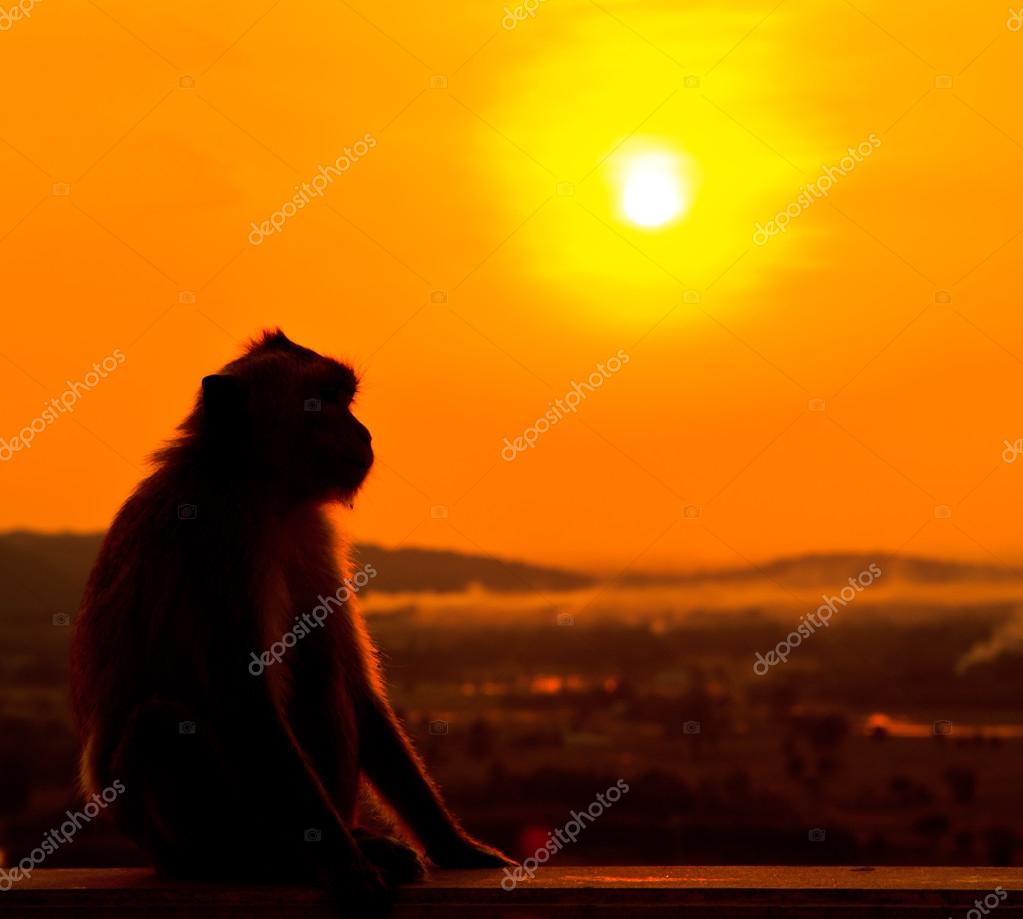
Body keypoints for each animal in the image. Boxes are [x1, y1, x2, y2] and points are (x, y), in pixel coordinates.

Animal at [70, 329, 514, 910]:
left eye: (344, 398)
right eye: (318, 404)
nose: (364, 433)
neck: (264, 493)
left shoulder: (313, 539)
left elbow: (356, 686)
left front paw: (452, 844)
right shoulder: (219, 540)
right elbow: (245, 701)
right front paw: (346, 868)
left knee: (322, 672)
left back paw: (359, 838)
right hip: (176, 839)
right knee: (160, 721)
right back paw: (265, 858)